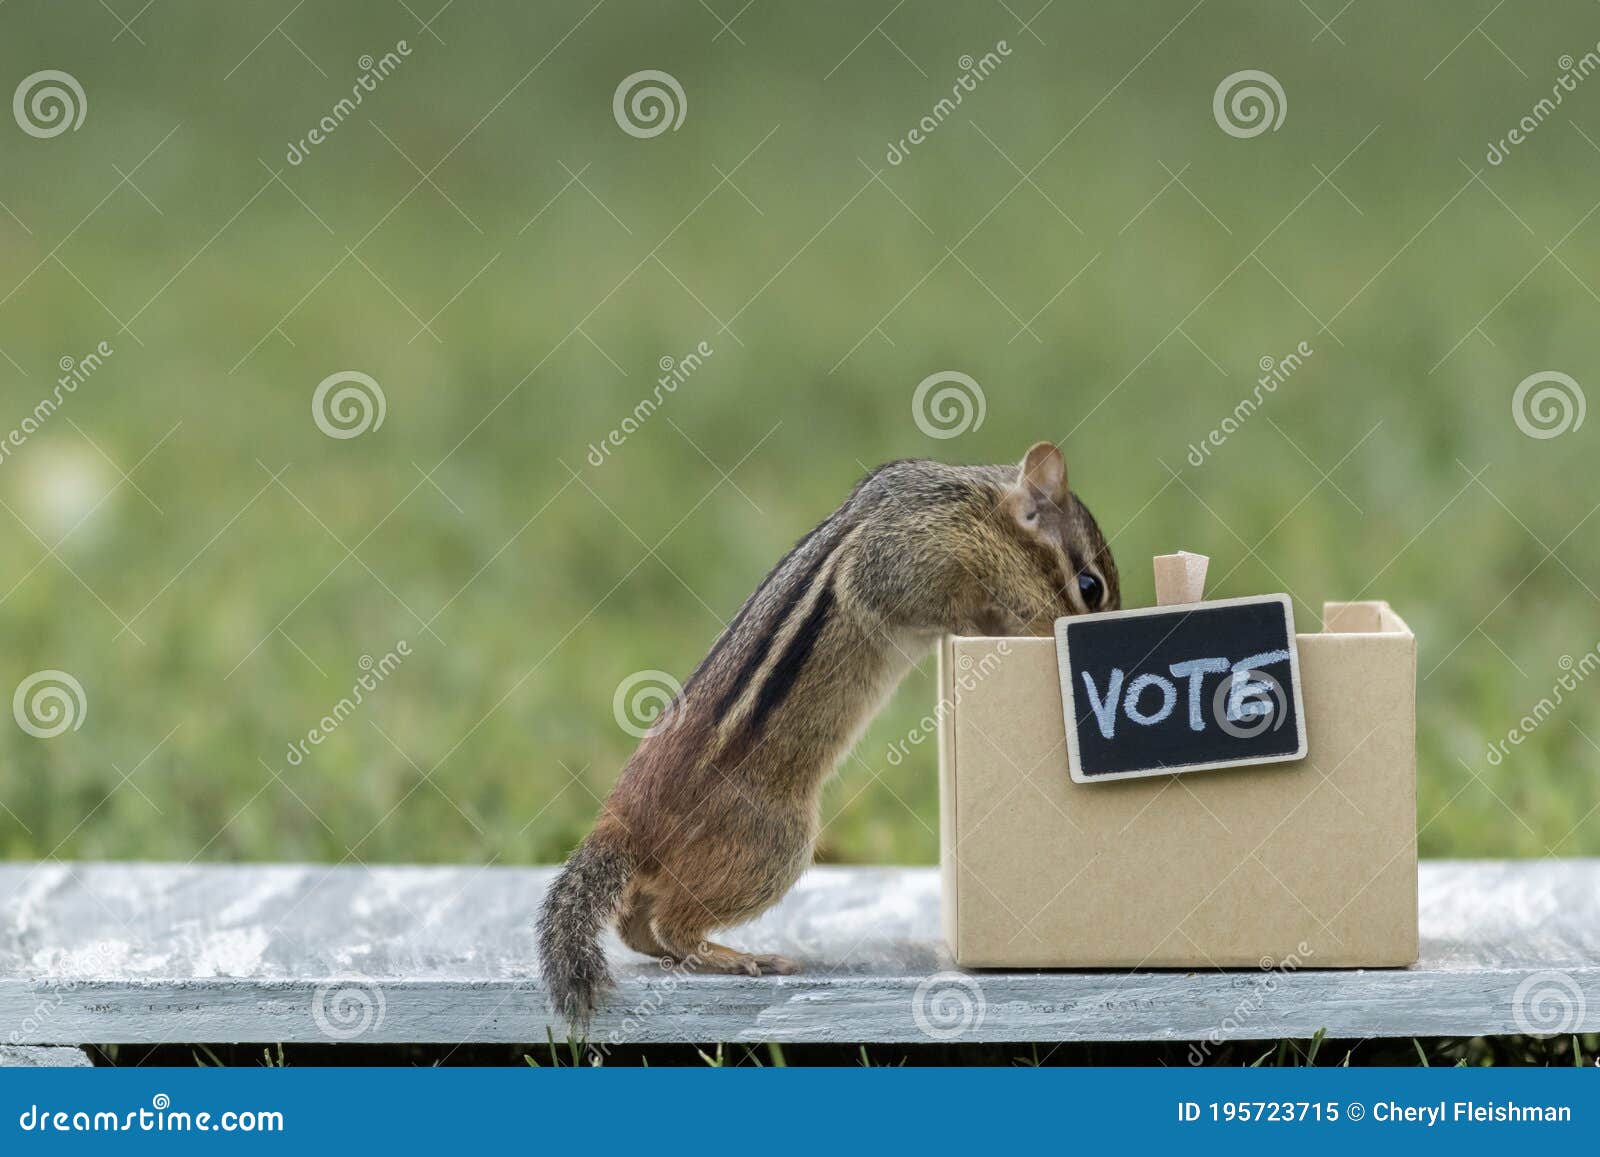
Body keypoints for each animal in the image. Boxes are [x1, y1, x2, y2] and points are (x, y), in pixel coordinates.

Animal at [537, 441, 1119, 1028]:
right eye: (1090, 587)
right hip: (776, 845)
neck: (975, 509)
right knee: (672, 923)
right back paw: (738, 957)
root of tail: (625, 820)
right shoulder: (901, 563)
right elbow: (942, 609)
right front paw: (992, 624)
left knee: (637, 926)